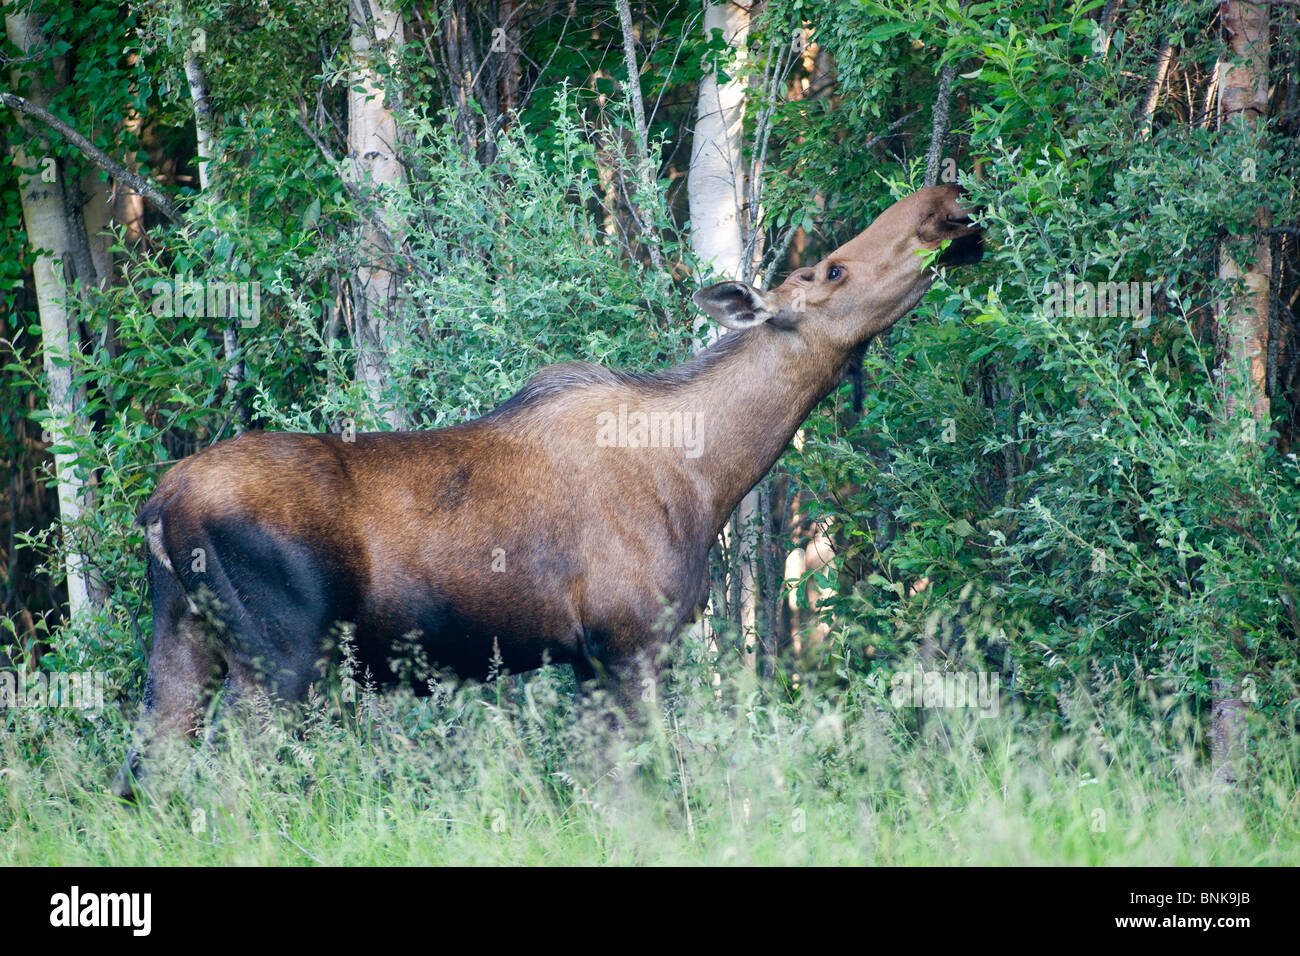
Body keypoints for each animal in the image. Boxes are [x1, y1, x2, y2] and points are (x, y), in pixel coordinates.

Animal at [111, 184, 983, 801]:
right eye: (831, 269)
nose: (944, 205)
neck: (710, 480)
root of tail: (157, 508)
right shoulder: (630, 641)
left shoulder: (586, 660)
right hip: (281, 655)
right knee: (229, 785)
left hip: (185, 639)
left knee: (145, 777)